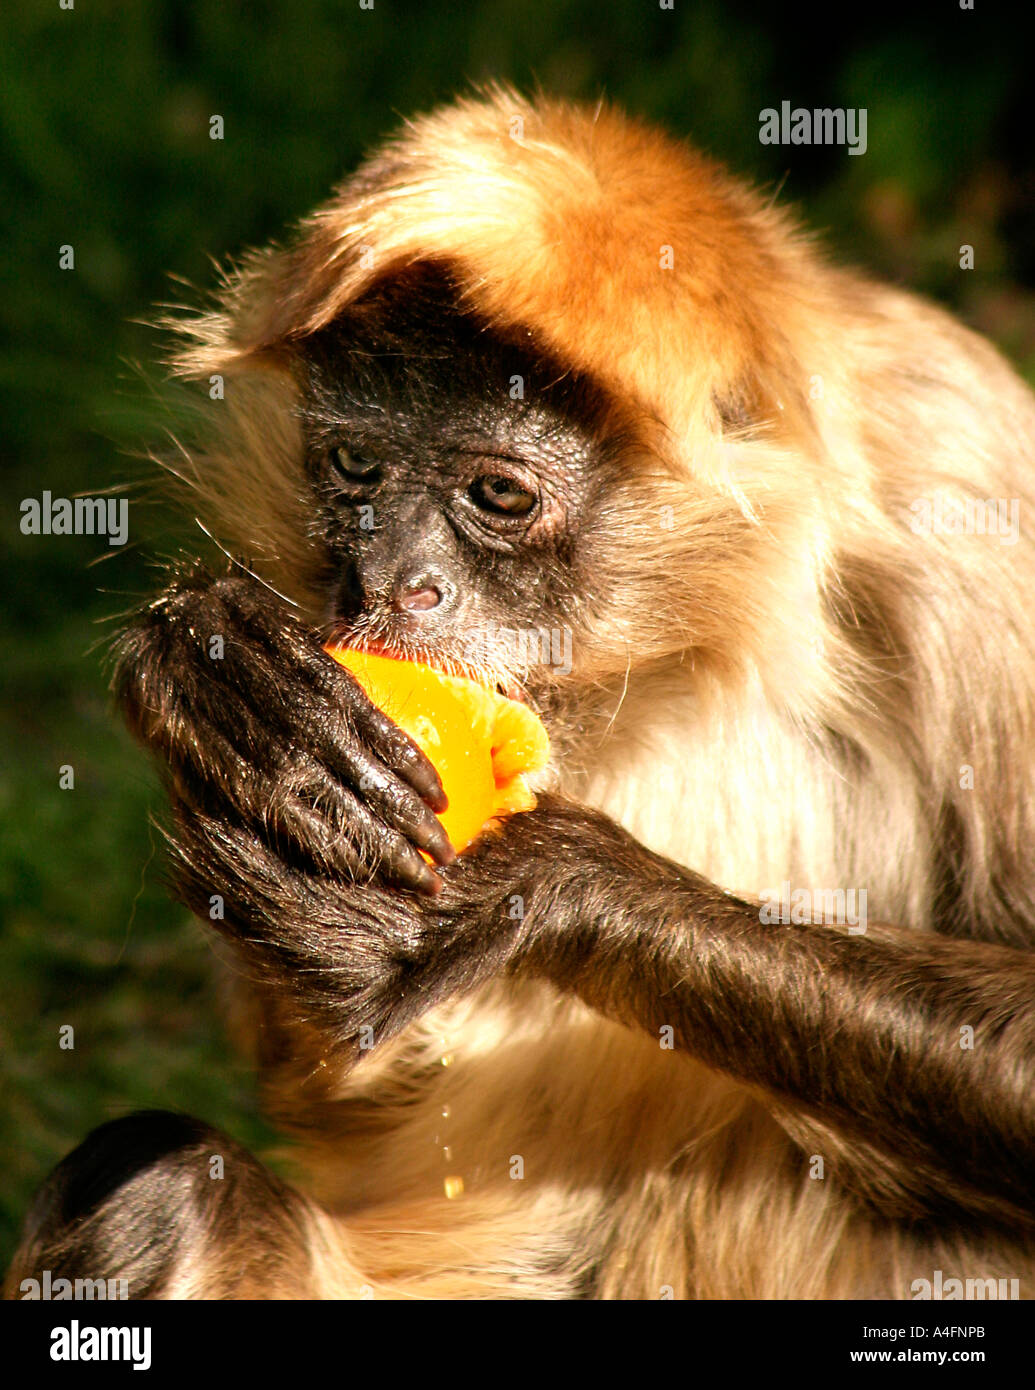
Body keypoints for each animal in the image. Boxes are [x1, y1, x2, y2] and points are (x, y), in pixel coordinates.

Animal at [7, 88, 1035, 1301]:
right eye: (356, 468)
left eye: (498, 495)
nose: (392, 582)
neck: (673, 662)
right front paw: (218, 681)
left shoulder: (961, 474)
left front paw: (533, 891)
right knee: (161, 1187)